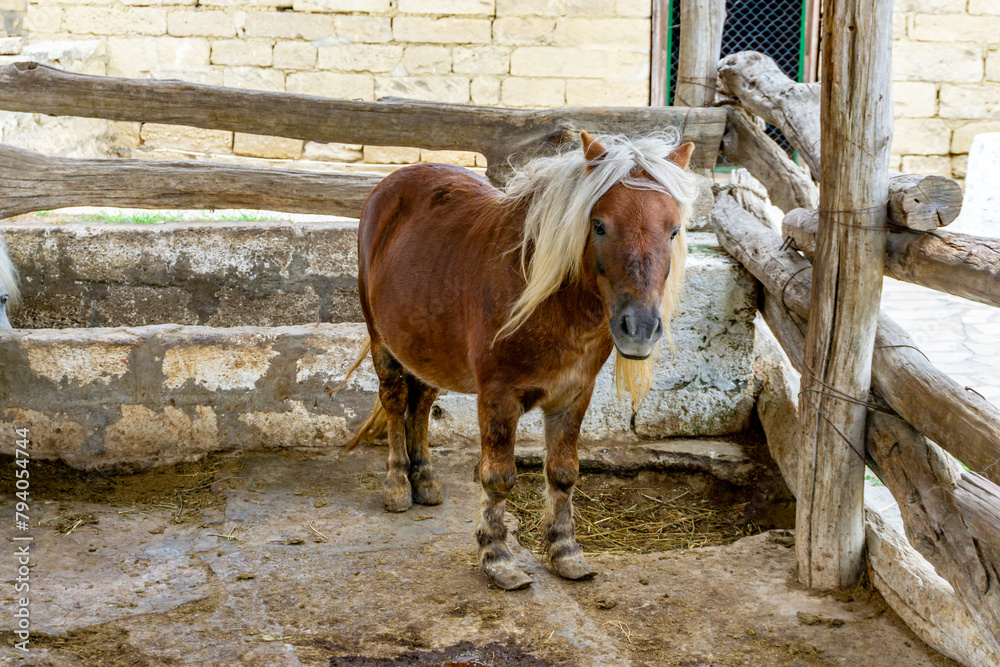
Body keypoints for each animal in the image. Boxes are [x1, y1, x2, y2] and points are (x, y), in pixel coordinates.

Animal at [341, 131, 698, 590]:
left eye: (673, 230)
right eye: (599, 224)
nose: (639, 327)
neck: (552, 305)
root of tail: (391, 184)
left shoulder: (574, 396)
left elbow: (564, 472)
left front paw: (566, 553)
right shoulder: (498, 398)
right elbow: (498, 477)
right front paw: (498, 559)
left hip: (426, 348)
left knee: (419, 405)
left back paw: (426, 480)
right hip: (382, 342)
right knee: (395, 402)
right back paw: (399, 485)